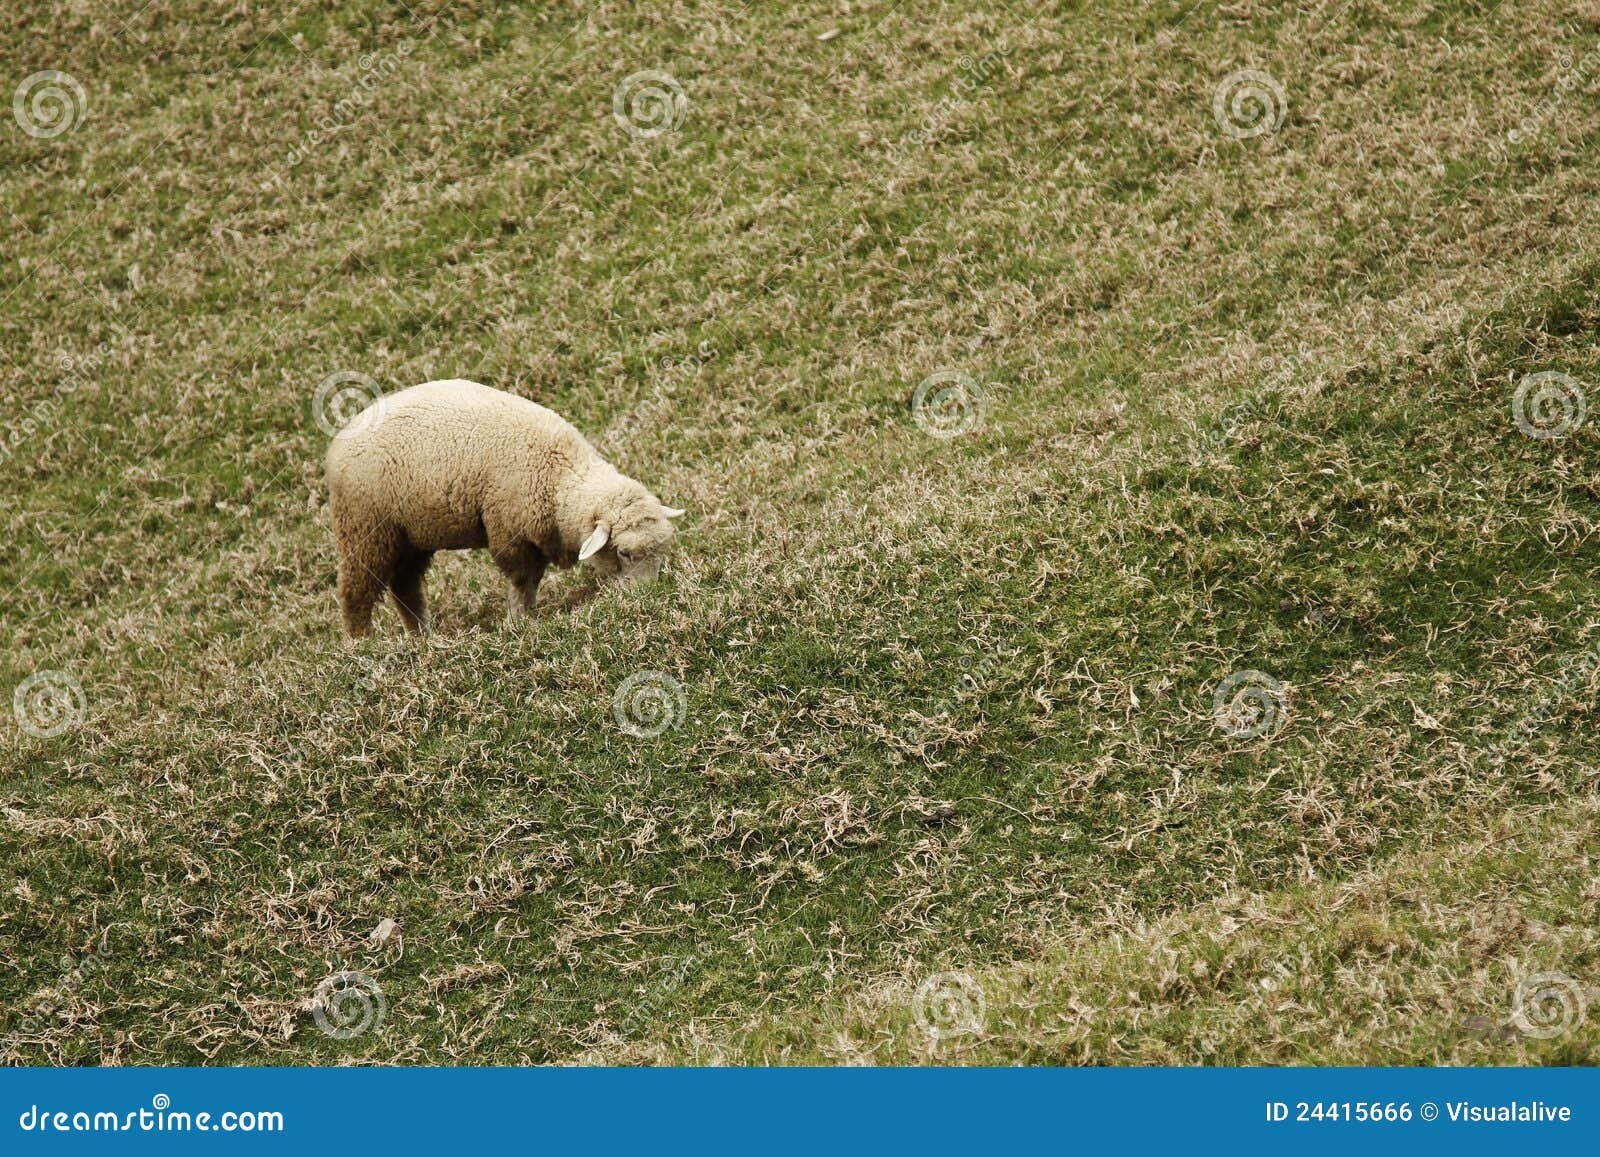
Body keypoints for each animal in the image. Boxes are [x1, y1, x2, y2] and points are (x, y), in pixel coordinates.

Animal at [325, 379, 684, 637]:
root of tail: (337, 444)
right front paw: (519, 620)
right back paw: (360, 643)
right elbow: (523, 580)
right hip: (364, 527)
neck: (560, 478)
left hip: (410, 535)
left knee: (405, 587)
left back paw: (421, 637)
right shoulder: (509, 531)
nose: (647, 596)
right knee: (356, 590)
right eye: (623, 552)